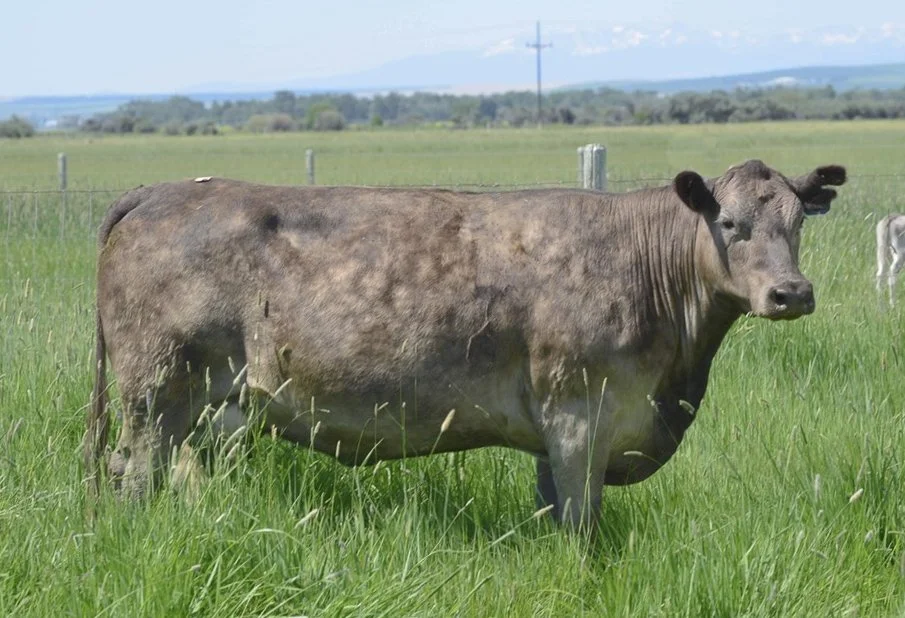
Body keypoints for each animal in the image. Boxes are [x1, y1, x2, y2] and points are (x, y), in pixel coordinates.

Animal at [84, 160, 846, 529]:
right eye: (729, 223)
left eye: (796, 221)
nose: (790, 293)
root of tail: (164, 190)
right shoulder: (579, 414)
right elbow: (582, 524)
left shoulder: (558, 432)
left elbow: (555, 516)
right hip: (155, 391)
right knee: (133, 474)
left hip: (212, 409)